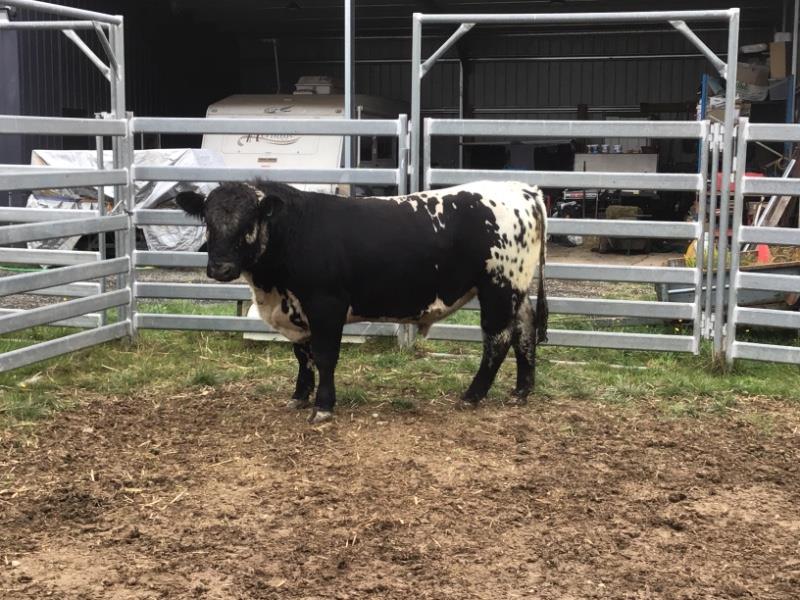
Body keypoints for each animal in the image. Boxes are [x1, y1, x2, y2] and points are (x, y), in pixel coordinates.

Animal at [176, 180, 548, 424]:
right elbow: (302, 355)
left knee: (497, 339)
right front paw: (299, 397)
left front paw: (323, 407)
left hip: (498, 286)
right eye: (208, 220)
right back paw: (521, 391)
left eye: (249, 221)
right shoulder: (299, 309)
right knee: (524, 331)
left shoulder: (326, 304)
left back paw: (472, 396)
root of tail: (523, 190)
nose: (220, 268)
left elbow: (324, 356)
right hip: (517, 288)